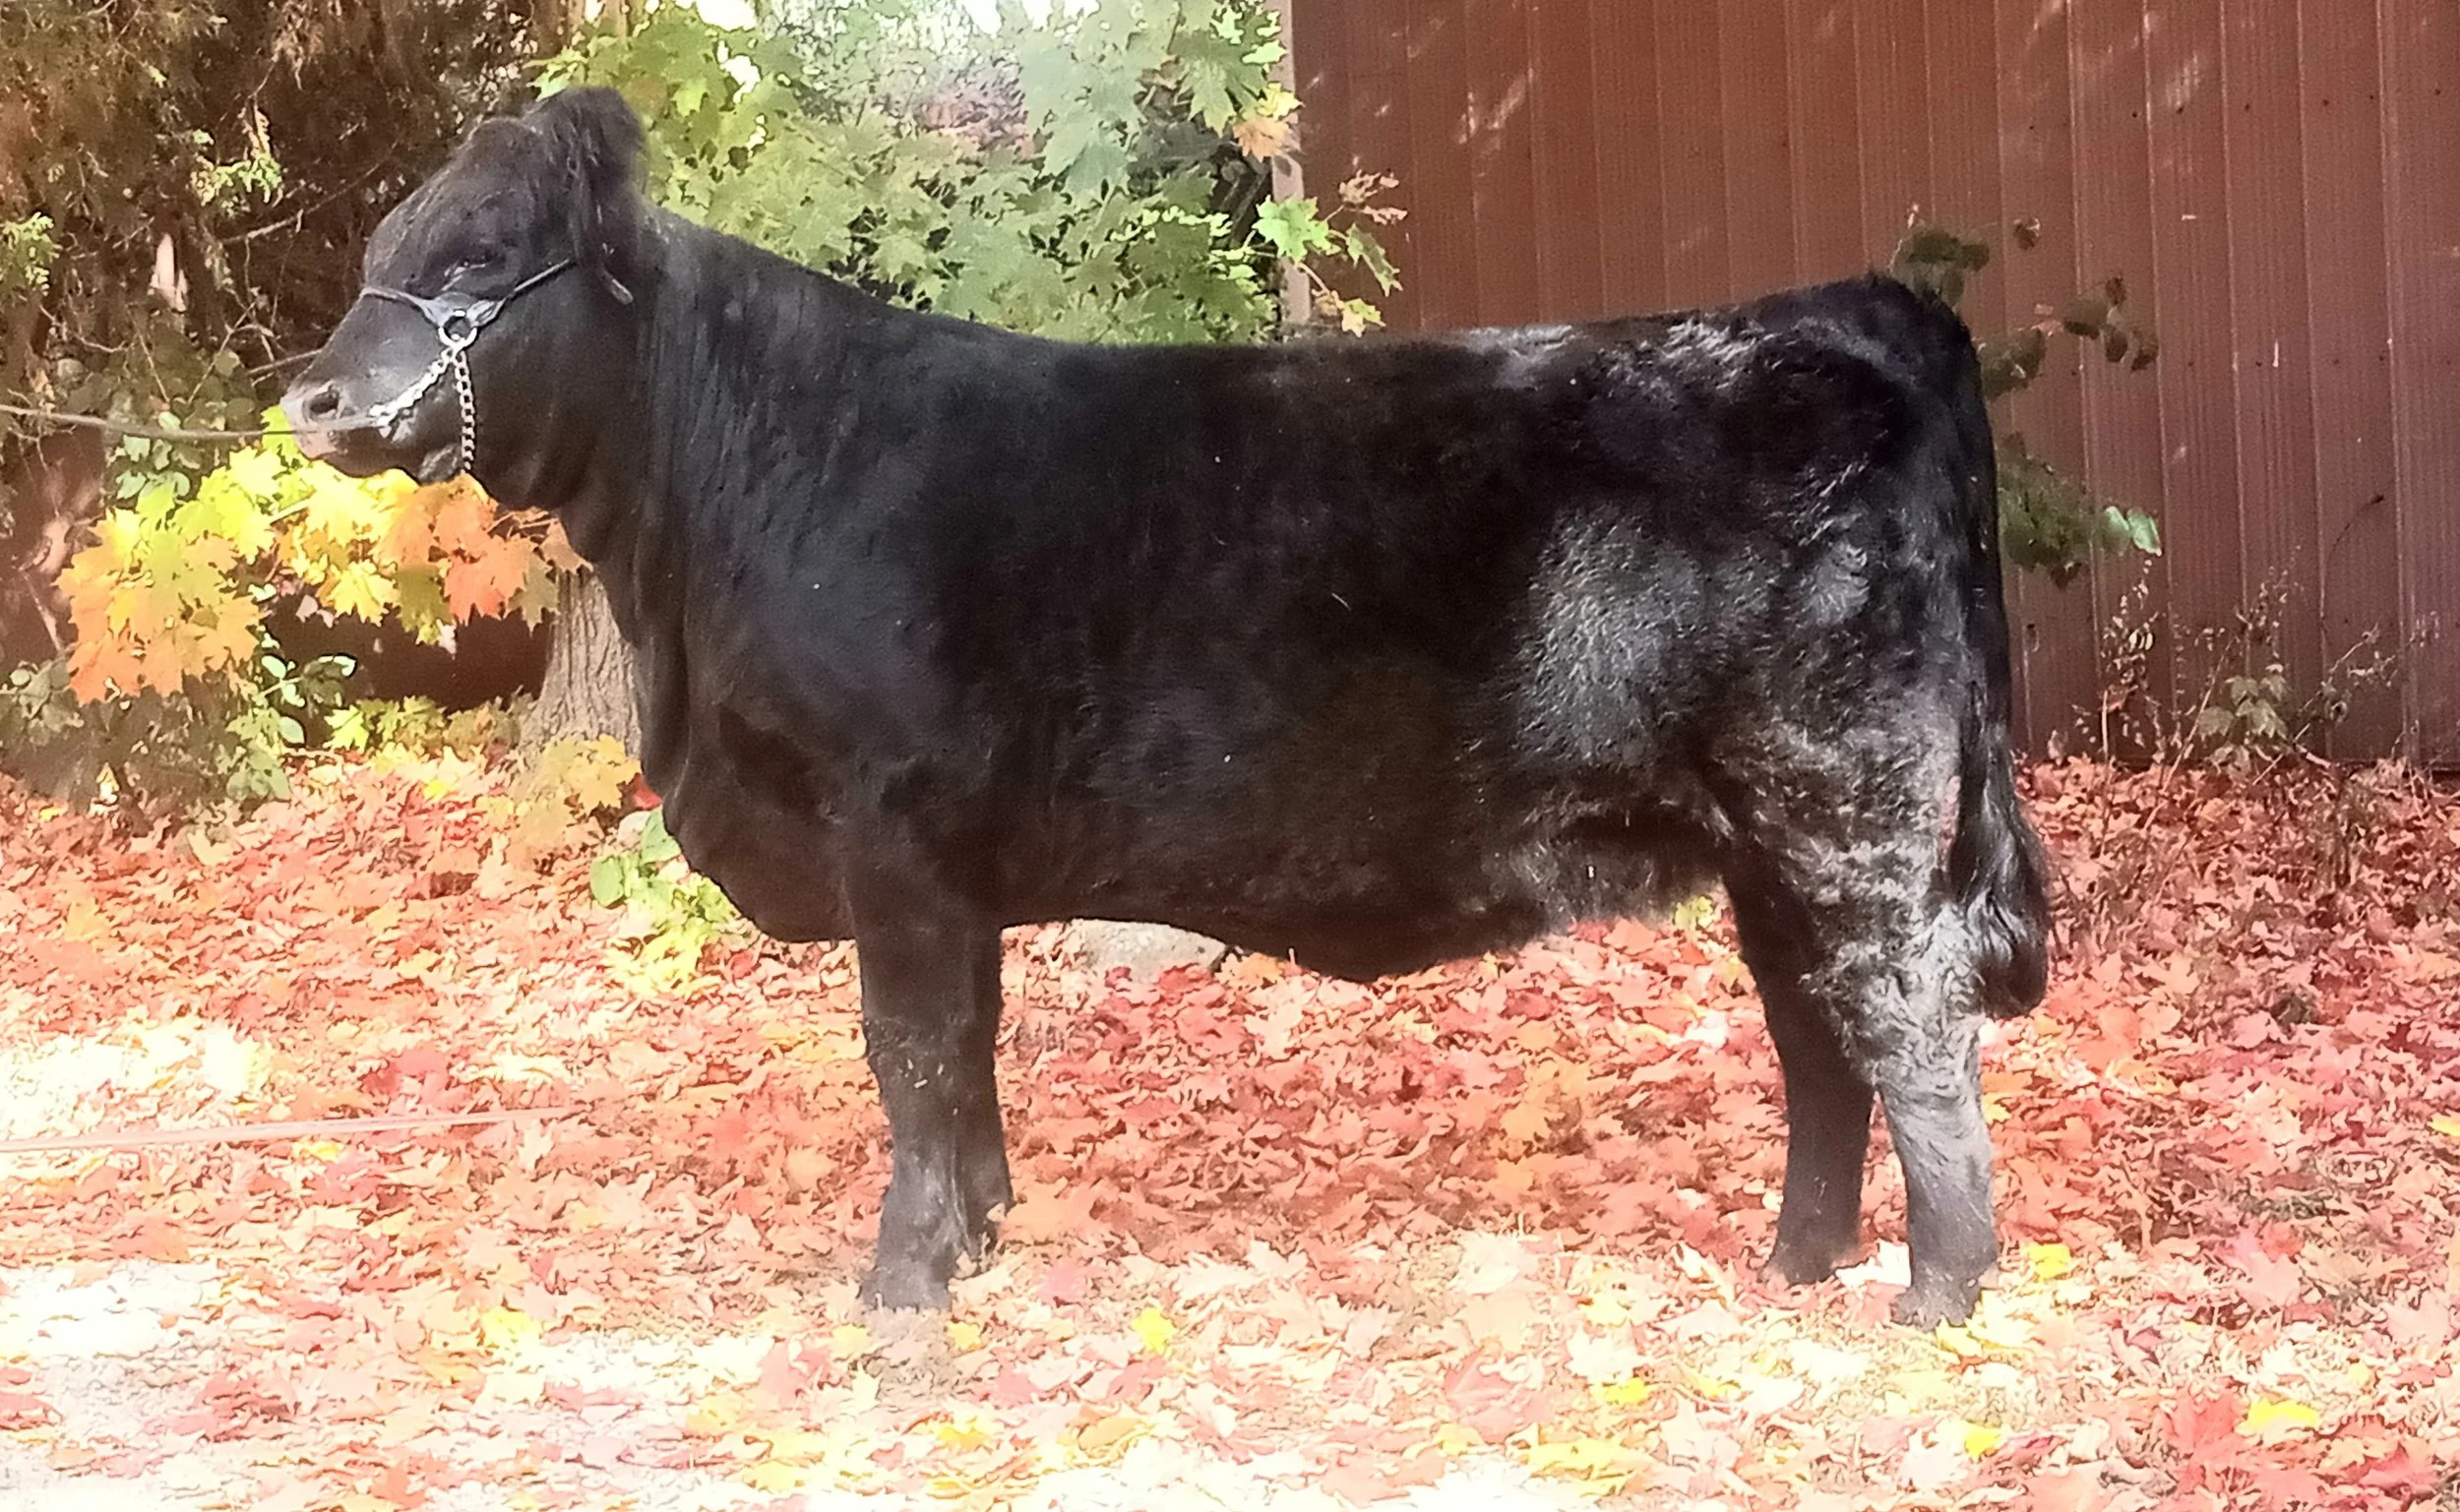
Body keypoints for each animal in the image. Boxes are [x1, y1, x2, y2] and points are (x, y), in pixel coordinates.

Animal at [282, 87, 2052, 1327]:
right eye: (378, 255)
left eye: (477, 263)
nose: (312, 397)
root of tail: (1847, 307)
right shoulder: (947, 869)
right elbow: (966, 1049)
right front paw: (985, 1233)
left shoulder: (890, 831)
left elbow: (907, 1050)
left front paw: (901, 1284)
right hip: (1763, 843)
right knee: (1818, 1042)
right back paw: (1800, 1261)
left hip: (1848, 814)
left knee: (1905, 1027)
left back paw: (1936, 1293)